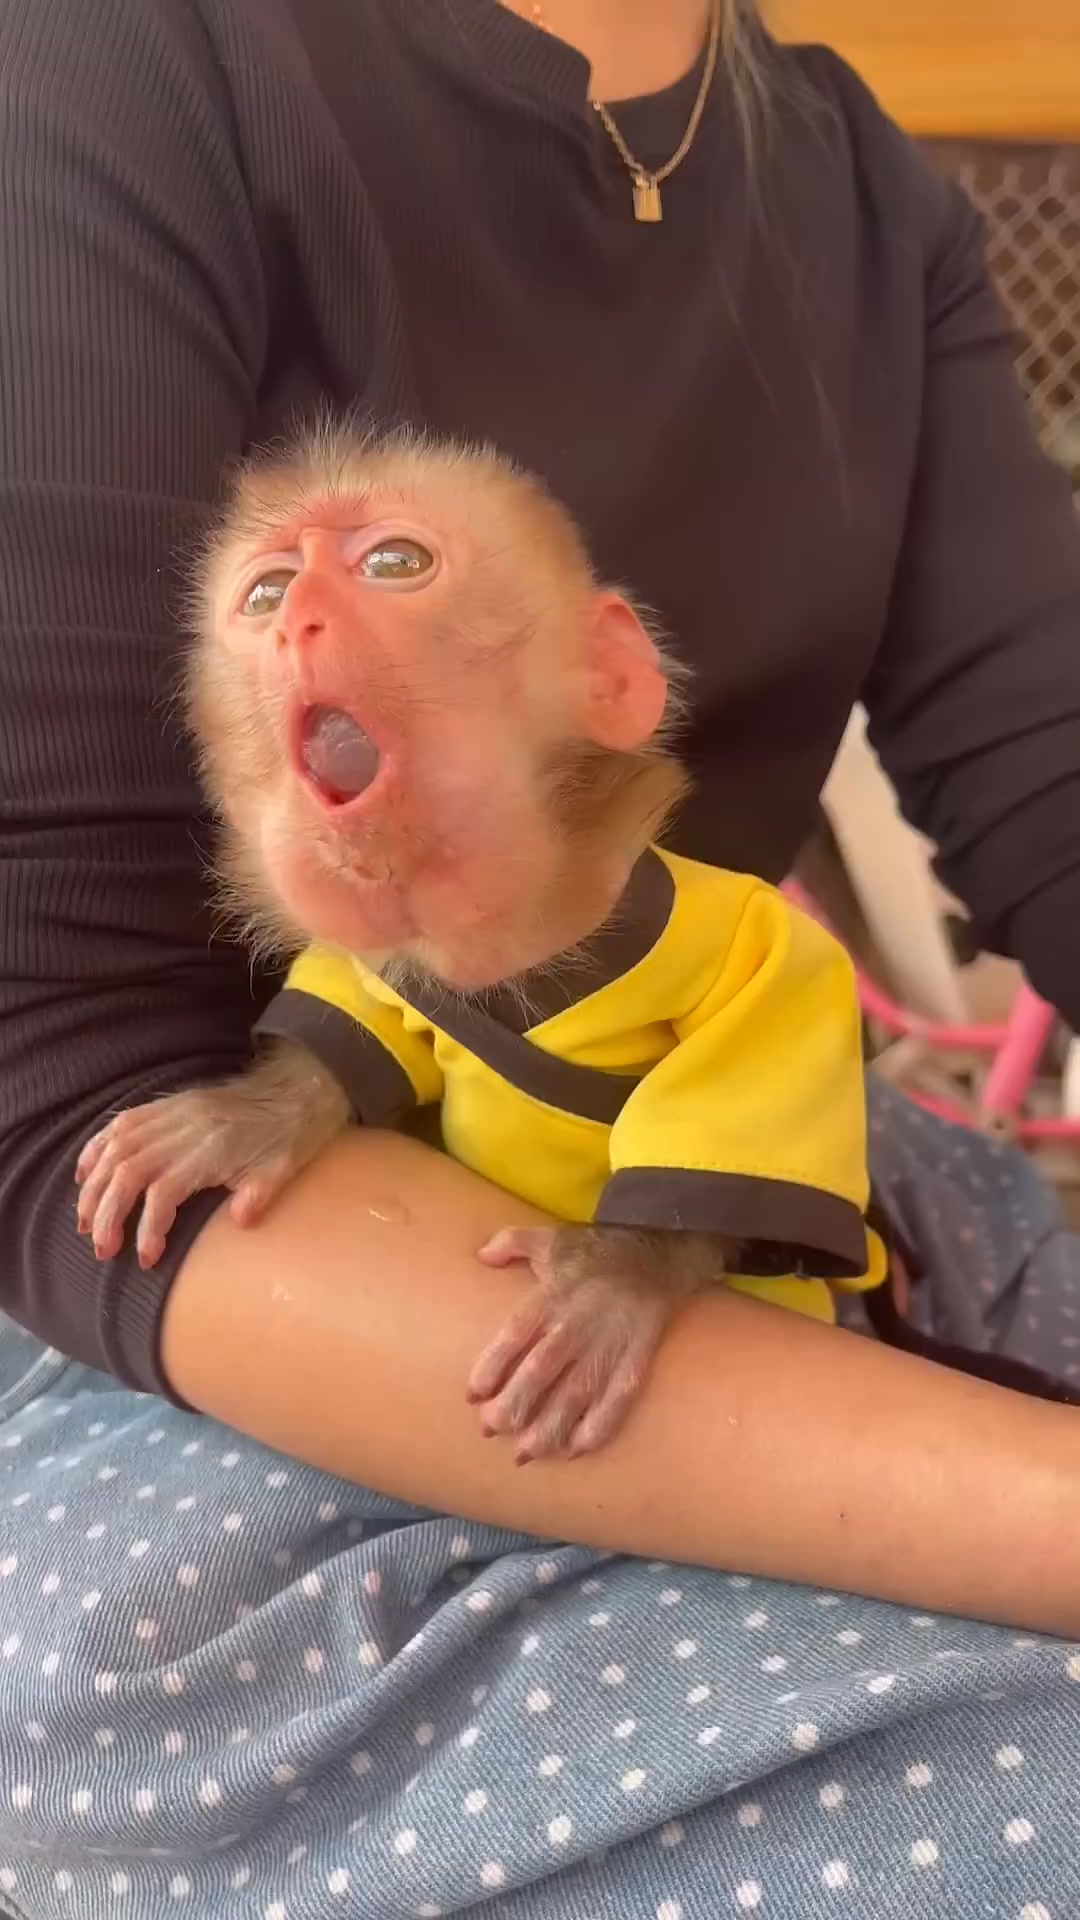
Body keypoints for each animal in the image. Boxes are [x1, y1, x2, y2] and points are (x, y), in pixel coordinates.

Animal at [75, 422, 895, 1464]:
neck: (514, 945)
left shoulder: (752, 949)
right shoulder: (401, 976)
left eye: (394, 564)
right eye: (263, 592)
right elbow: (355, 1031)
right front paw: (250, 1117)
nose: (293, 618)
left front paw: (616, 1278)